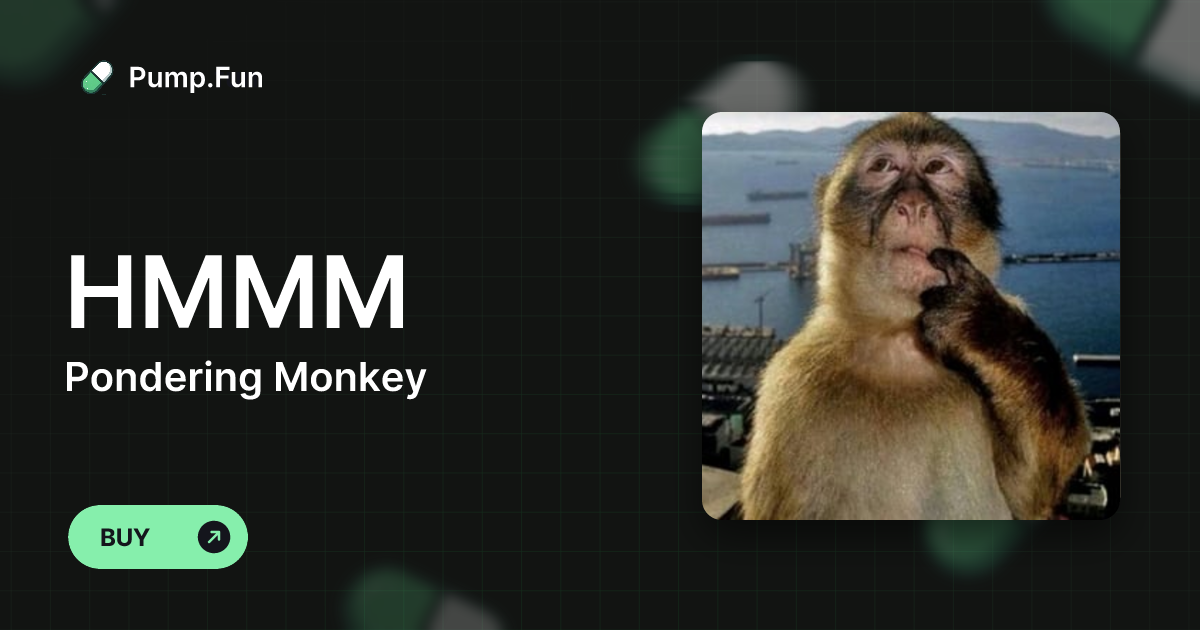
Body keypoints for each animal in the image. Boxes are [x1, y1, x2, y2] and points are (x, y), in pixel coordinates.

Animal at [740, 112, 1091, 520]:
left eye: (937, 167)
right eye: (883, 166)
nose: (912, 205)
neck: (900, 339)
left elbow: (1029, 493)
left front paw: (984, 326)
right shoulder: (789, 387)